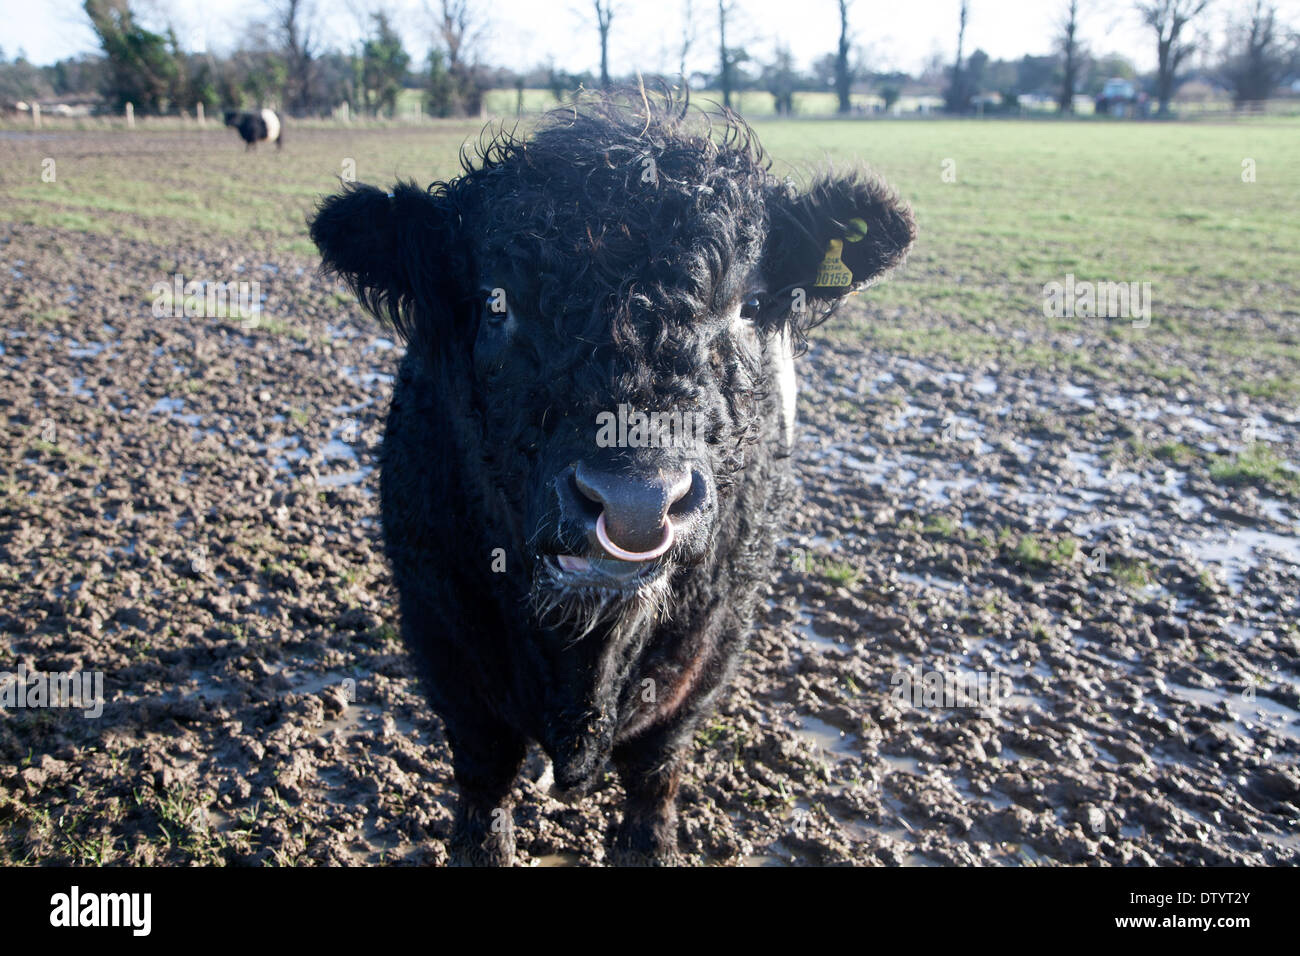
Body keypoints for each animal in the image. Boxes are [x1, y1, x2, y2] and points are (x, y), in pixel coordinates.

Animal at [308, 88, 915, 865]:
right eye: (497, 301)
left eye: (748, 305)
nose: (636, 502)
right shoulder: (445, 642)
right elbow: (483, 776)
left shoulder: (708, 647)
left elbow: (655, 774)